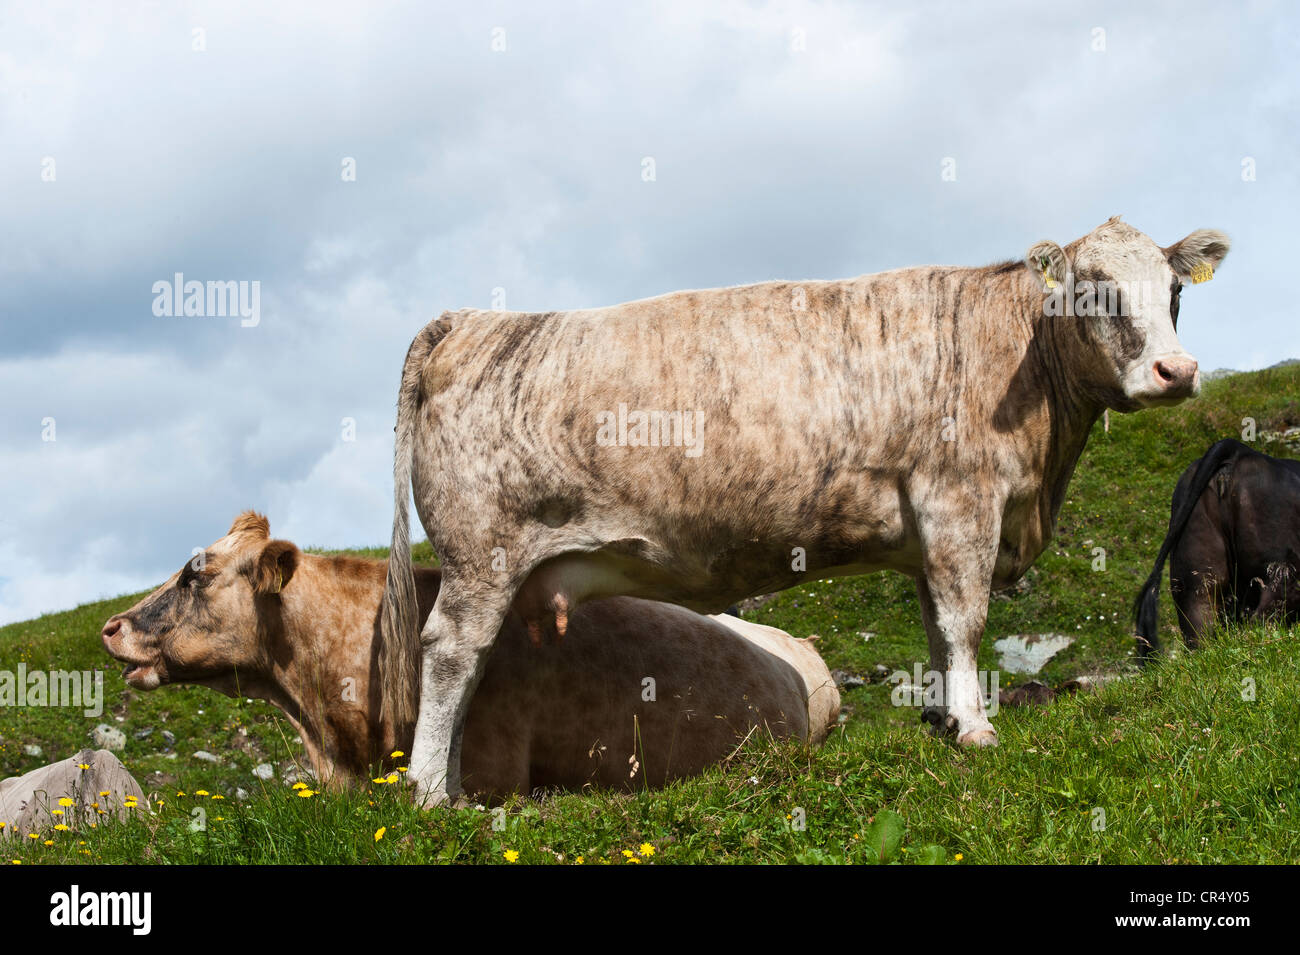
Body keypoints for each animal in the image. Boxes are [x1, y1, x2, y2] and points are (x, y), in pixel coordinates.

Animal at [380, 215, 1229, 805]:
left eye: (1175, 291)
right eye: (1097, 291)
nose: (1176, 370)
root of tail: (480, 320)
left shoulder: (928, 529)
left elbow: (935, 622)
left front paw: (944, 721)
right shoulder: (961, 501)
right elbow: (966, 621)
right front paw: (979, 727)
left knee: (475, 662)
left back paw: (455, 786)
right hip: (481, 552)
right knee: (451, 653)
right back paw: (429, 791)